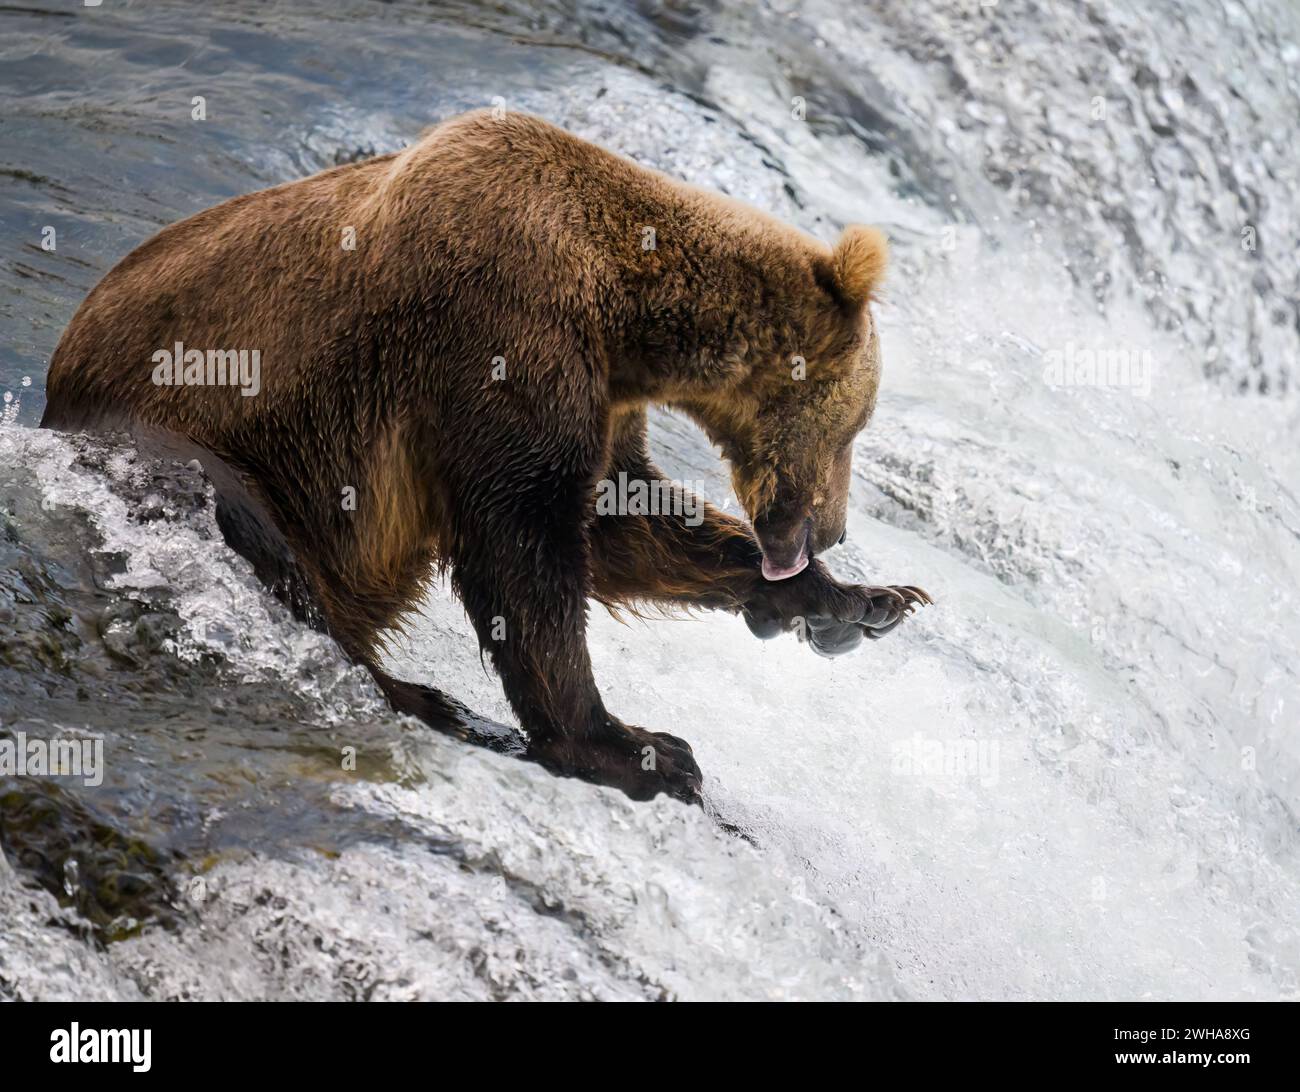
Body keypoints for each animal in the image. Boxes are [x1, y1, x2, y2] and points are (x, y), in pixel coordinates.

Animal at [41, 110, 929, 804]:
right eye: (855, 428)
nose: (833, 530)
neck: (626, 314)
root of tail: (52, 382)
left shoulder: (599, 393)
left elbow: (623, 520)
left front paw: (862, 601)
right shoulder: (500, 336)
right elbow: (522, 545)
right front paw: (639, 747)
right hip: (195, 445)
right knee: (260, 545)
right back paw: (423, 697)